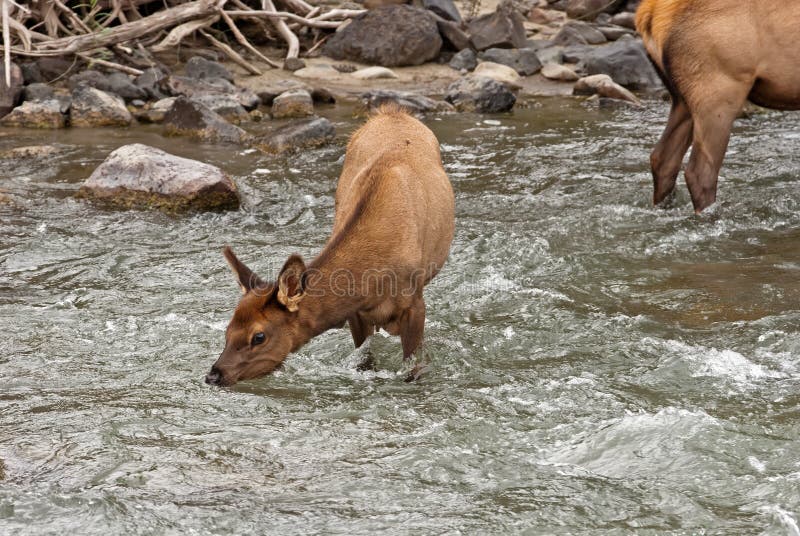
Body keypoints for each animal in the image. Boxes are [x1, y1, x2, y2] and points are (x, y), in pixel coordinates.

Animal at [205, 106, 455, 387]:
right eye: (228, 330)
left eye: (259, 336)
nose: (214, 374)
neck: (377, 275)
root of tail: (392, 112)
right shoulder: (356, 312)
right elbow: (364, 361)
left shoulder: (415, 304)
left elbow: (413, 367)